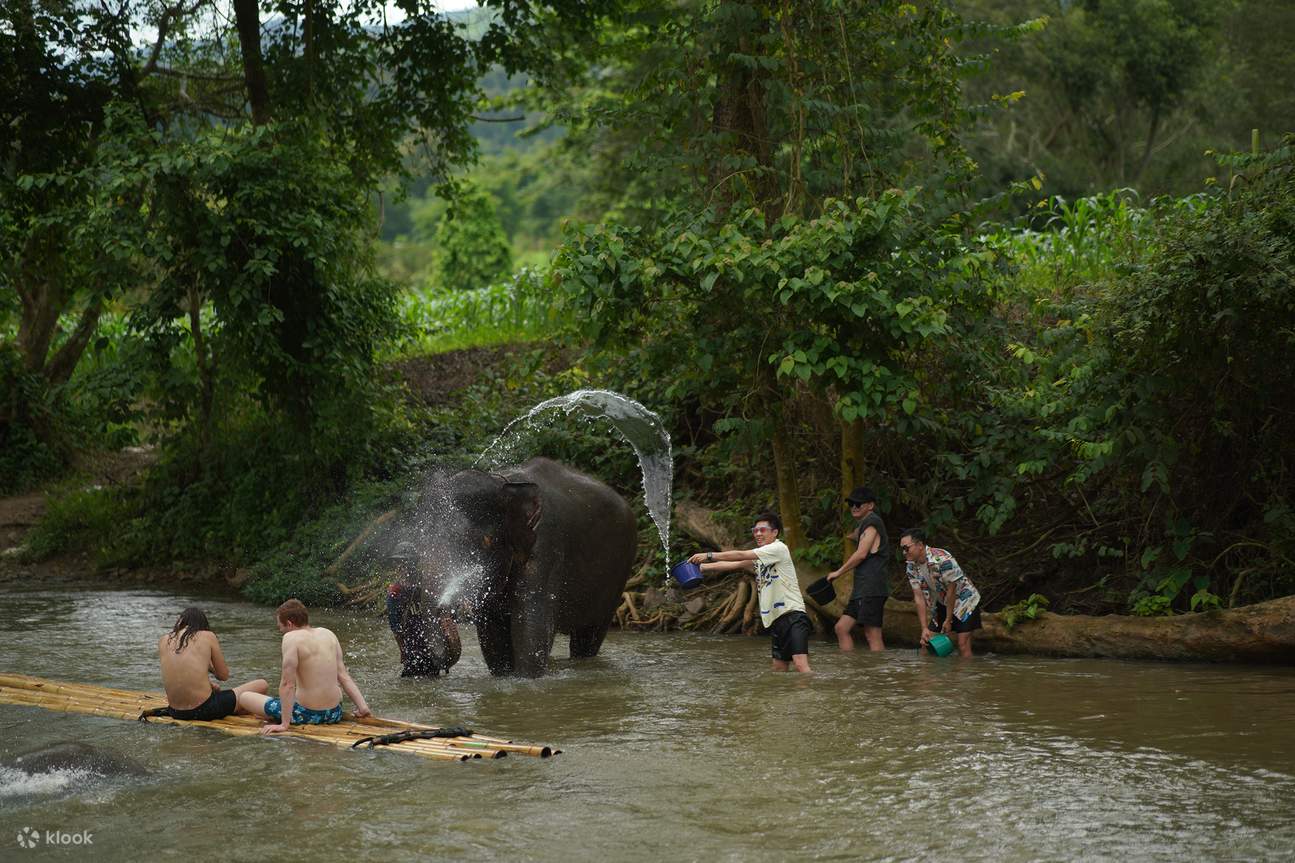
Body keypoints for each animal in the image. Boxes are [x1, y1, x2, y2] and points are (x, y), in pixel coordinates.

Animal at [390, 457, 638, 677]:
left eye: (472, 541)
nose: (447, 607)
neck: (504, 484)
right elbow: (493, 636)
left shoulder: (546, 547)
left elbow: (530, 634)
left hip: (619, 572)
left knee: (589, 637)